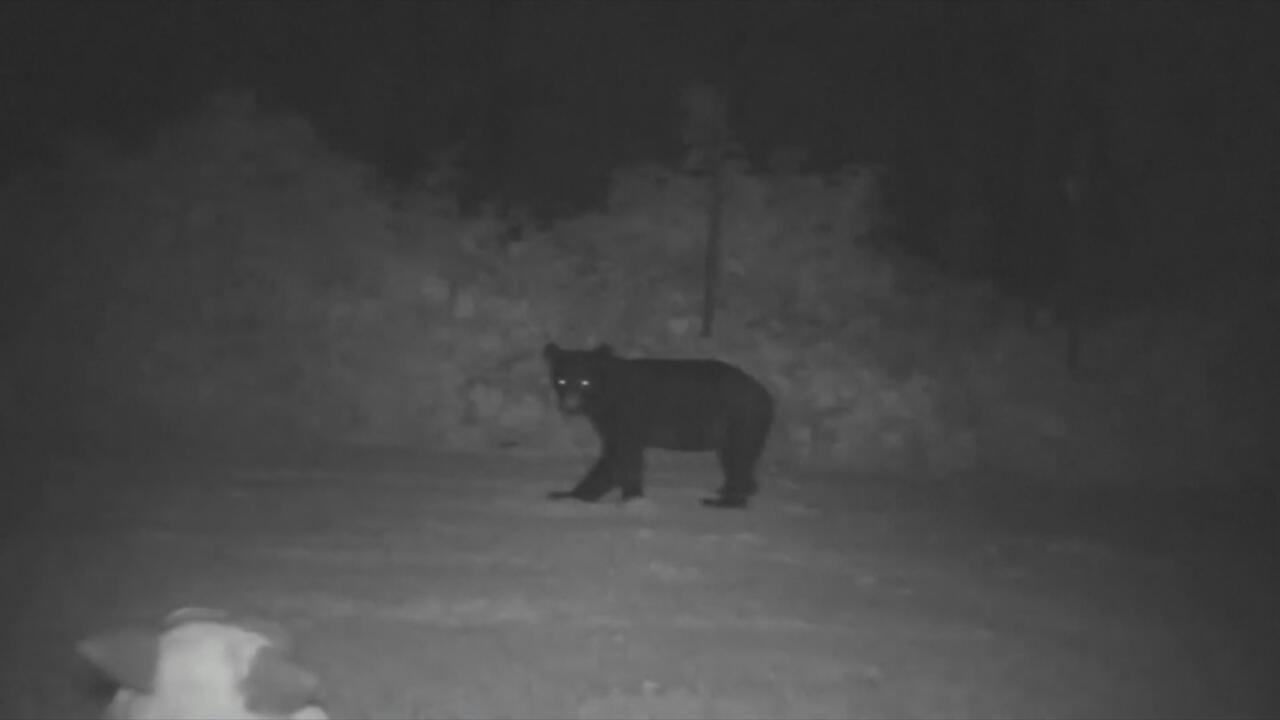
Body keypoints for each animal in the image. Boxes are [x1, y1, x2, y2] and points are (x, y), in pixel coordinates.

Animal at [542, 342, 775, 509]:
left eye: (585, 381)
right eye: (561, 380)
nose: (569, 405)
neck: (606, 396)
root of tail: (764, 393)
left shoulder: (628, 417)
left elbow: (620, 458)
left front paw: (626, 498)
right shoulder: (613, 424)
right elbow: (618, 458)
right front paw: (565, 494)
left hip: (740, 421)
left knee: (738, 458)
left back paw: (721, 501)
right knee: (735, 461)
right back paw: (727, 491)